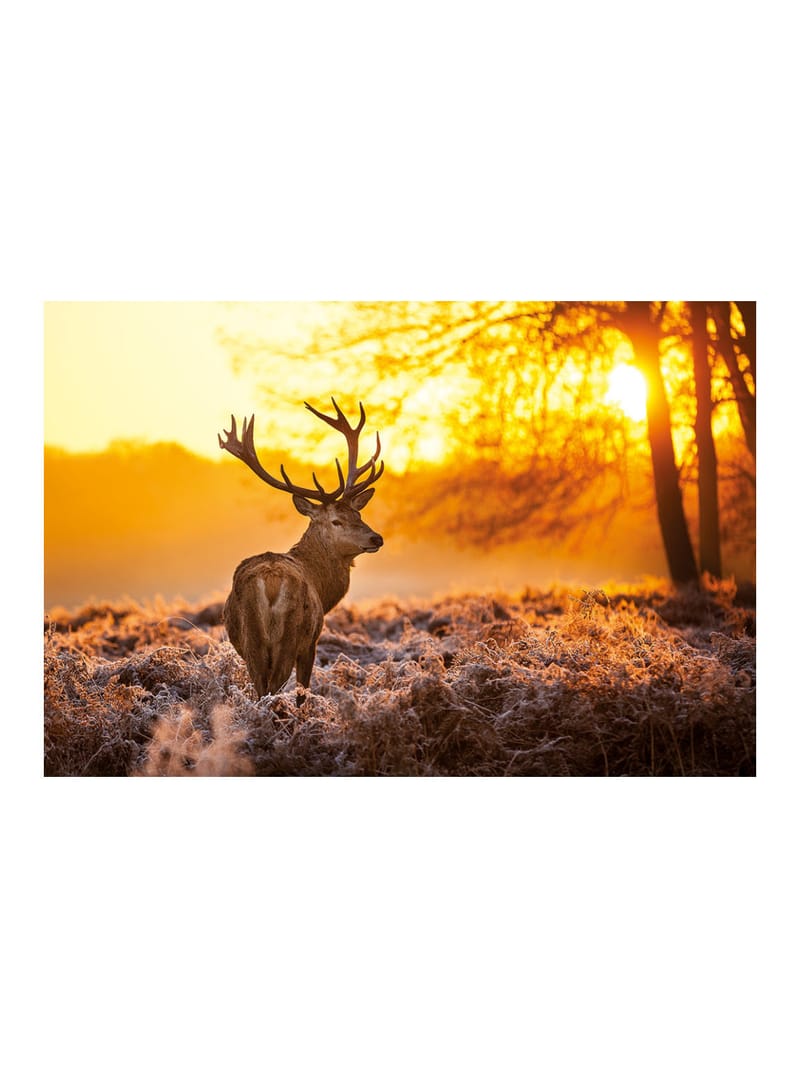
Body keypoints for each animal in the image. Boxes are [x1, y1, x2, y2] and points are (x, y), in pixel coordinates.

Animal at [218, 399, 384, 701]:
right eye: (336, 520)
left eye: (358, 514)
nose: (376, 538)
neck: (322, 586)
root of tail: (270, 581)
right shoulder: (311, 642)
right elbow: (302, 690)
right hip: (290, 636)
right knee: (274, 688)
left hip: (251, 642)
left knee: (260, 689)